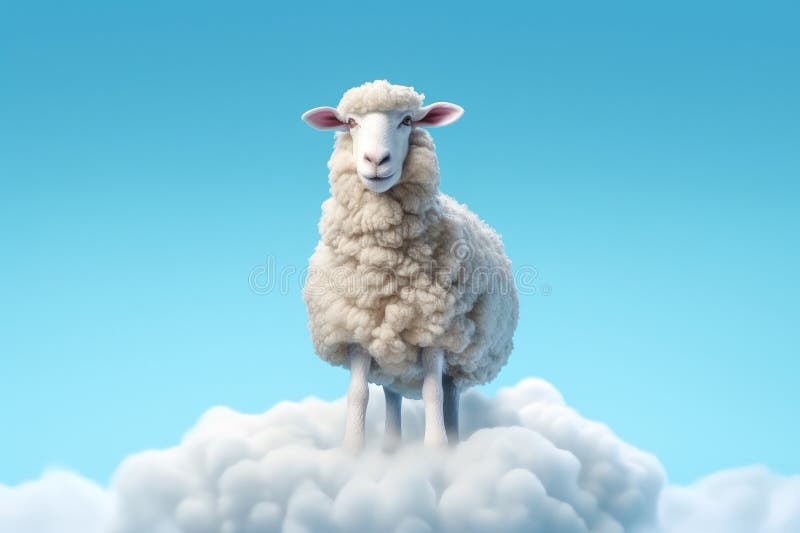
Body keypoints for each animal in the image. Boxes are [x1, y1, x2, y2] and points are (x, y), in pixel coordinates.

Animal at [301, 80, 518, 451]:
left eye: (407, 121)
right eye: (350, 123)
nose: (376, 160)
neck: (384, 263)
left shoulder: (434, 330)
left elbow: (433, 394)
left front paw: (436, 450)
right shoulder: (358, 331)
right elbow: (357, 395)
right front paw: (353, 451)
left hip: (459, 355)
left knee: (449, 396)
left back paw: (453, 444)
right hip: (392, 362)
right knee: (391, 395)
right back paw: (391, 450)